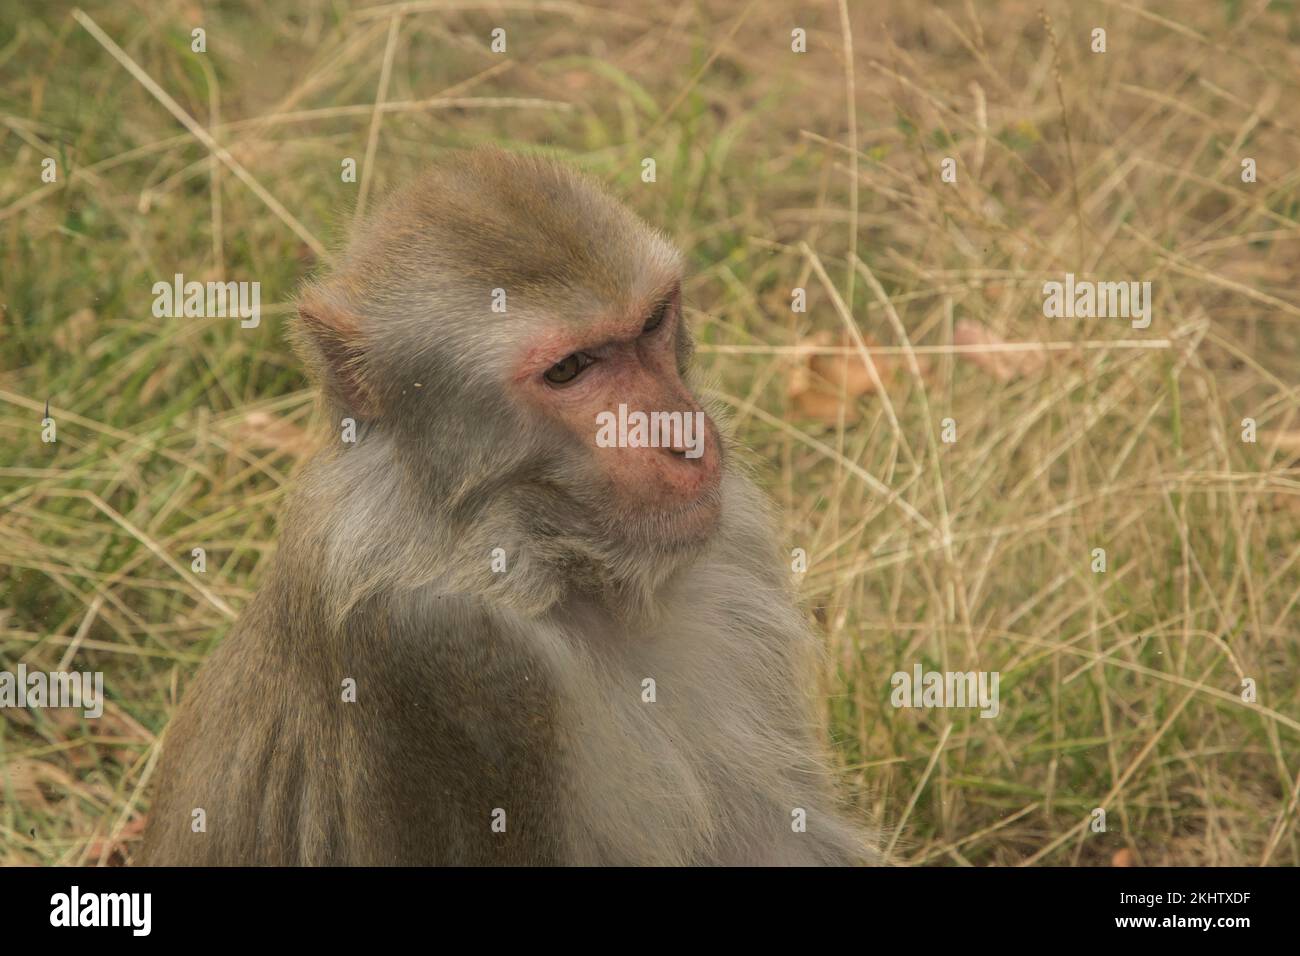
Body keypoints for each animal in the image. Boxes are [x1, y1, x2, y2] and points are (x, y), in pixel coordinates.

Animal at [139, 148, 876, 866]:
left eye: (652, 324)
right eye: (570, 368)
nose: (685, 438)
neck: (549, 567)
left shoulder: (734, 536)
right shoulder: (447, 653)